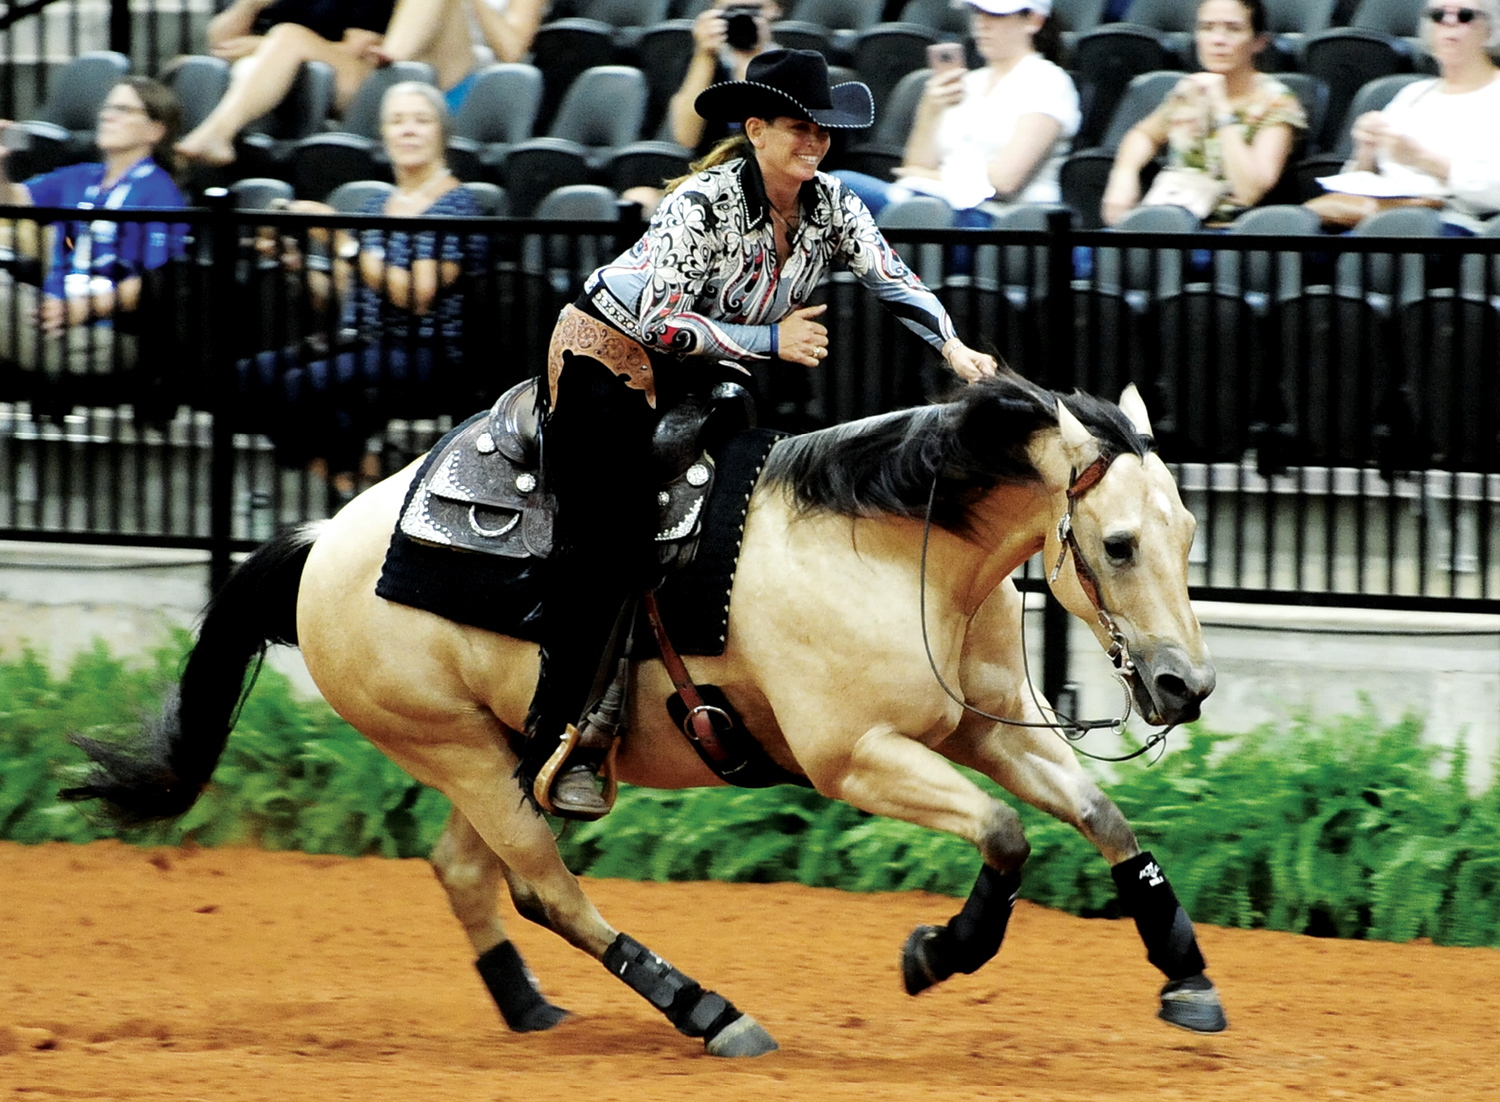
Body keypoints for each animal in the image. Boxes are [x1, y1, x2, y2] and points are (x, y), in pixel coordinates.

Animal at [62, 371, 1221, 1056]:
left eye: (1189, 532)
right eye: (1117, 543)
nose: (1185, 688)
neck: (898, 554)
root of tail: (323, 541)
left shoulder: (979, 727)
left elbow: (1101, 818)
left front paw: (1187, 975)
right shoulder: (858, 757)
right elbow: (1006, 832)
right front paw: (939, 951)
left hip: (505, 751)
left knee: (466, 871)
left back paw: (528, 1006)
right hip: (454, 748)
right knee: (545, 889)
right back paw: (709, 1011)